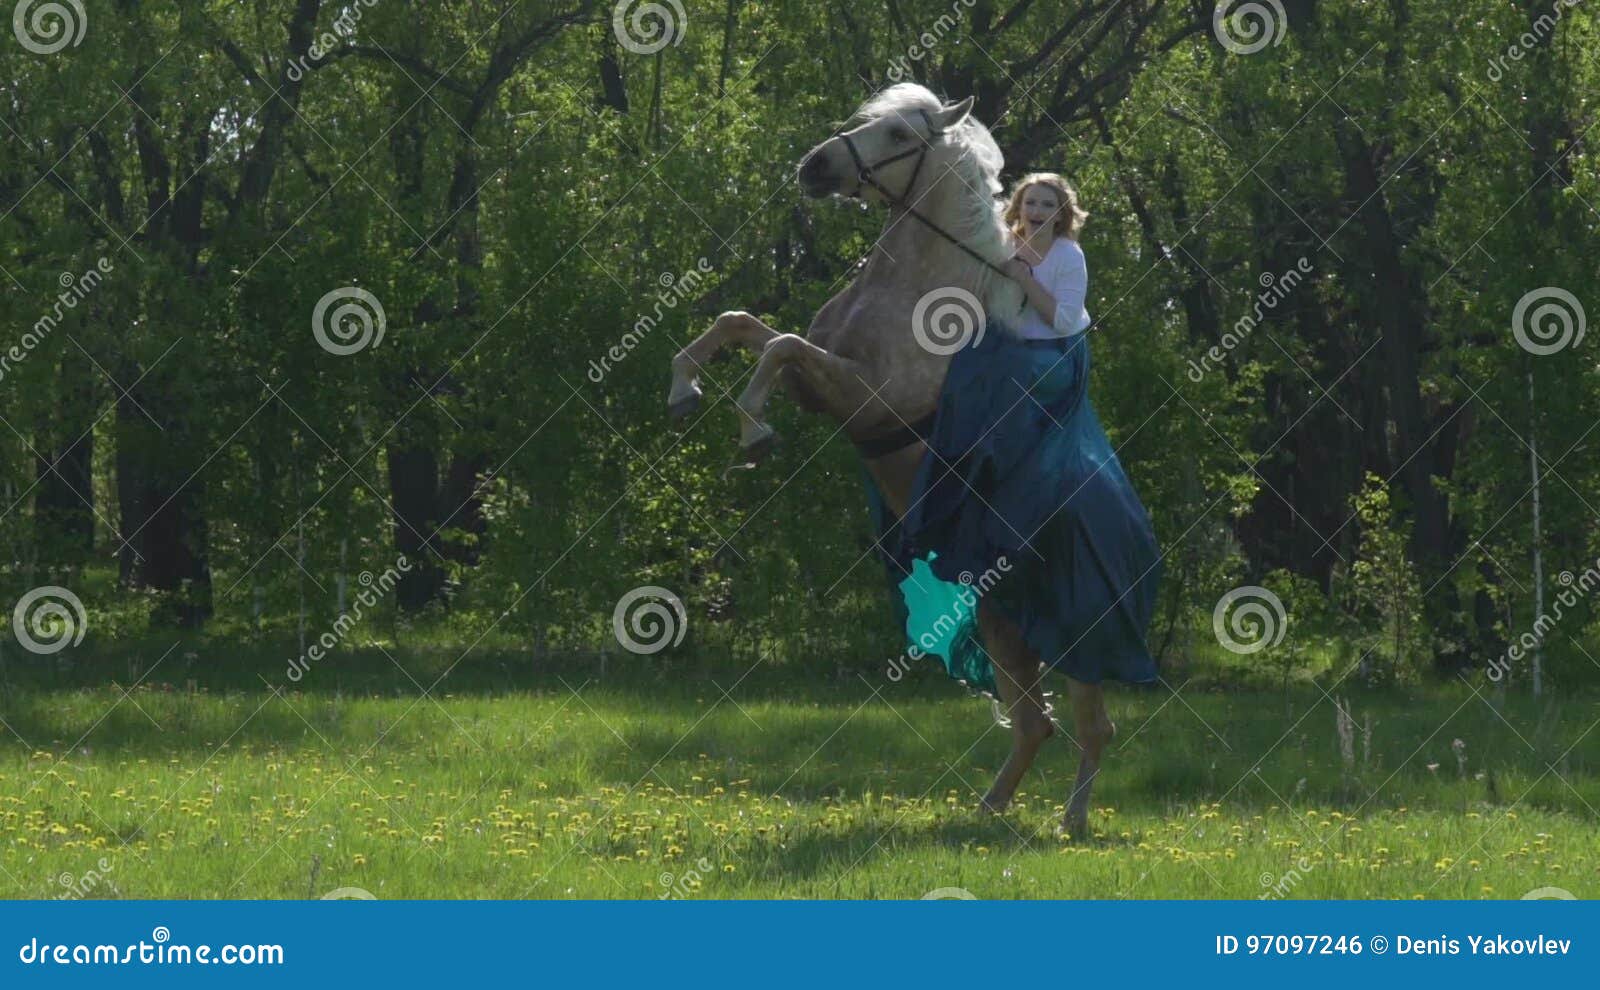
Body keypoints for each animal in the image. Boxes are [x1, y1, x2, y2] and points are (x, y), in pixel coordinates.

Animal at [666, 83, 1117, 838]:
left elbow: (777, 346)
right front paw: (684, 386)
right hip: (1001, 624)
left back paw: (1072, 819)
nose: (813, 167)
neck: (914, 294)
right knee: (1035, 723)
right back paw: (987, 812)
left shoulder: (860, 399)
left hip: (1063, 630)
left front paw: (753, 431)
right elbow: (744, 327)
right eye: (866, 119)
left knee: (1088, 725)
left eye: (902, 134)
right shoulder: (821, 379)